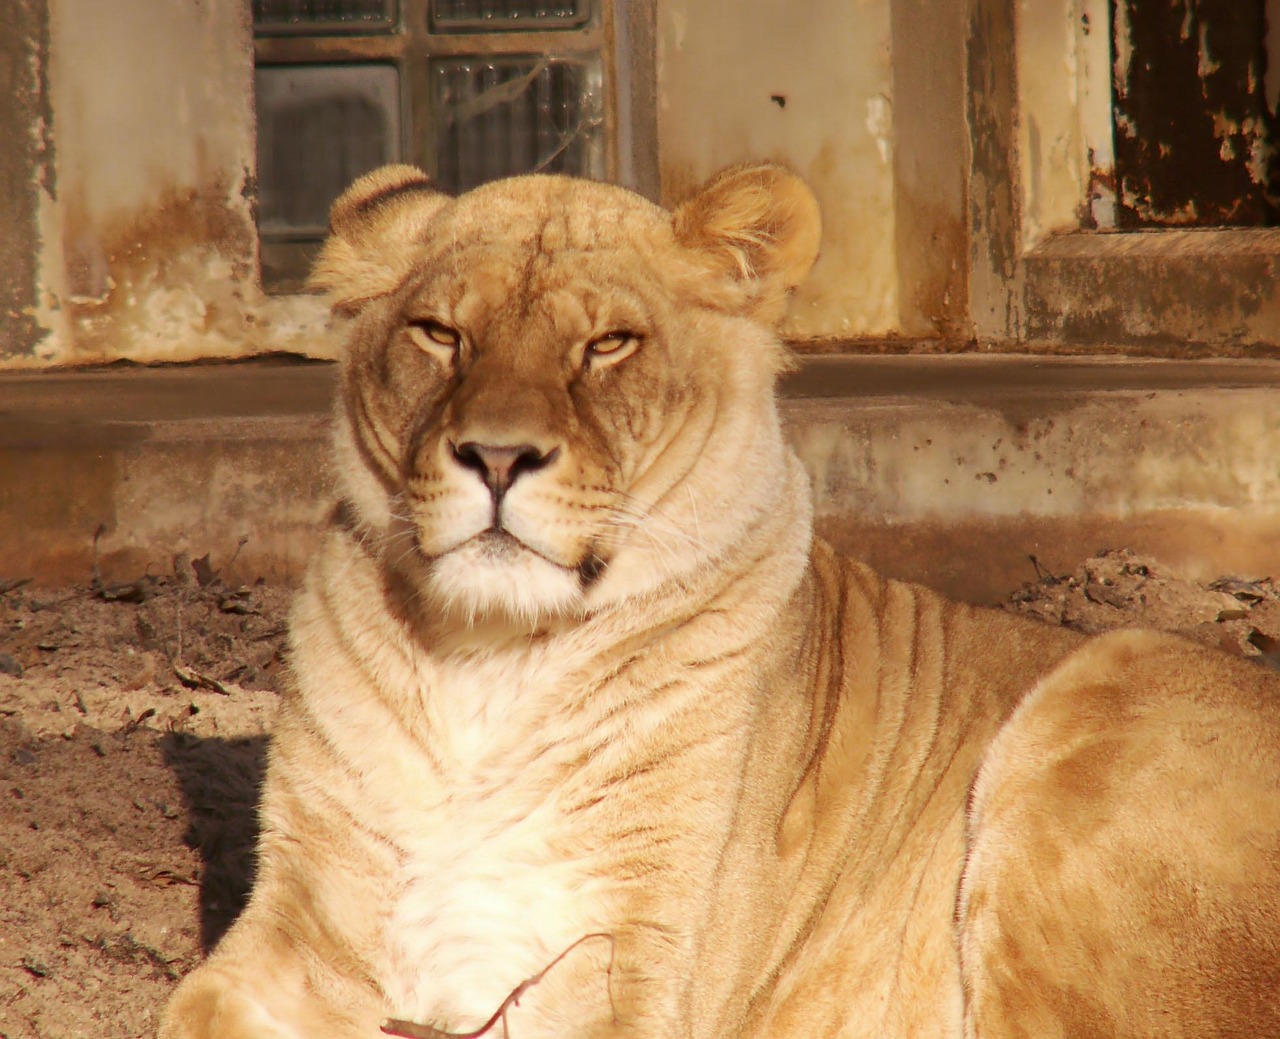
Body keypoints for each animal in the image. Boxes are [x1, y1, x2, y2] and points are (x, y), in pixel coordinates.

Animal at [160, 162, 1280, 1039]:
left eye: (607, 345)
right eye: (439, 334)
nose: (496, 456)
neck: (488, 661)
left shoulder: (639, 965)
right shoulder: (301, 929)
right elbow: (188, 1007)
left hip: (1112, 686)